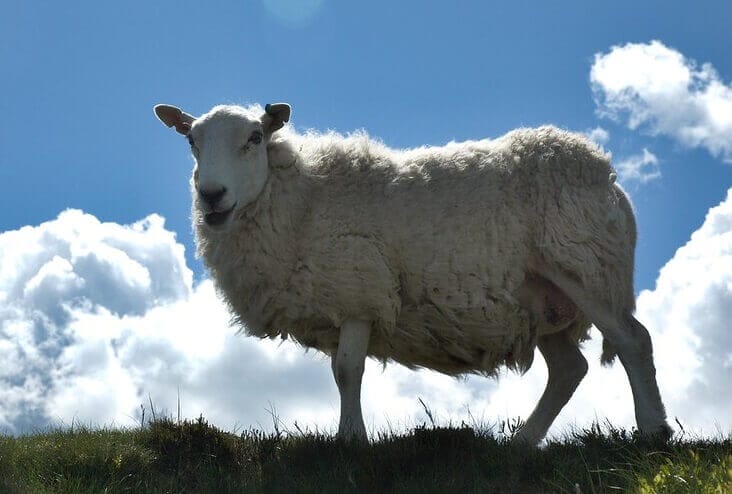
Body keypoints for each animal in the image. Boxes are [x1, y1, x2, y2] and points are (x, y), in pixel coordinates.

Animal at [153, 102, 672, 445]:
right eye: (191, 140)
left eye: (254, 138)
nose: (211, 196)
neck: (300, 199)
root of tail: (606, 173)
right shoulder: (341, 297)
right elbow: (343, 372)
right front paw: (350, 437)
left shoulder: (358, 291)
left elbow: (348, 370)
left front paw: (351, 441)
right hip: (540, 301)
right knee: (570, 369)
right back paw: (522, 444)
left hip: (584, 267)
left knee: (632, 340)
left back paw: (653, 431)